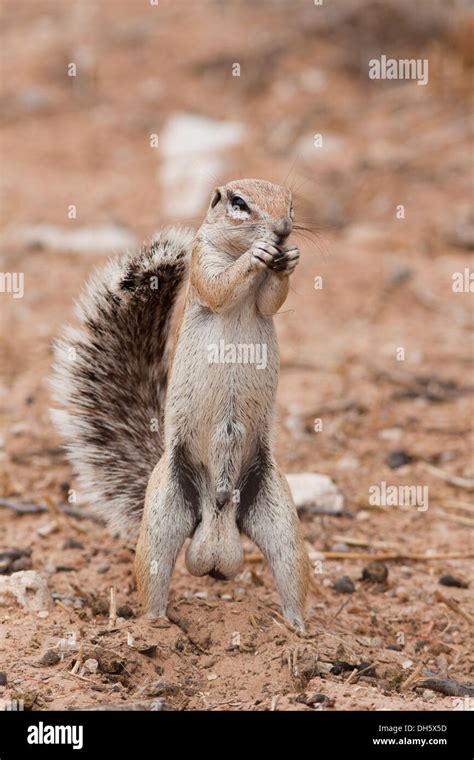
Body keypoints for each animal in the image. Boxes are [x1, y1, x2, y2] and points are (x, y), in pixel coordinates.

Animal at [51, 178, 310, 631]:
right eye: (238, 203)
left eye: (291, 205)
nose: (282, 231)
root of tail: (215, 530)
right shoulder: (203, 260)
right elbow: (219, 287)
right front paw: (256, 255)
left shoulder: (265, 295)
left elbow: (271, 302)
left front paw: (289, 259)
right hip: (162, 514)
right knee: (154, 574)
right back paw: (155, 624)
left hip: (279, 515)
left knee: (287, 565)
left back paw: (300, 629)